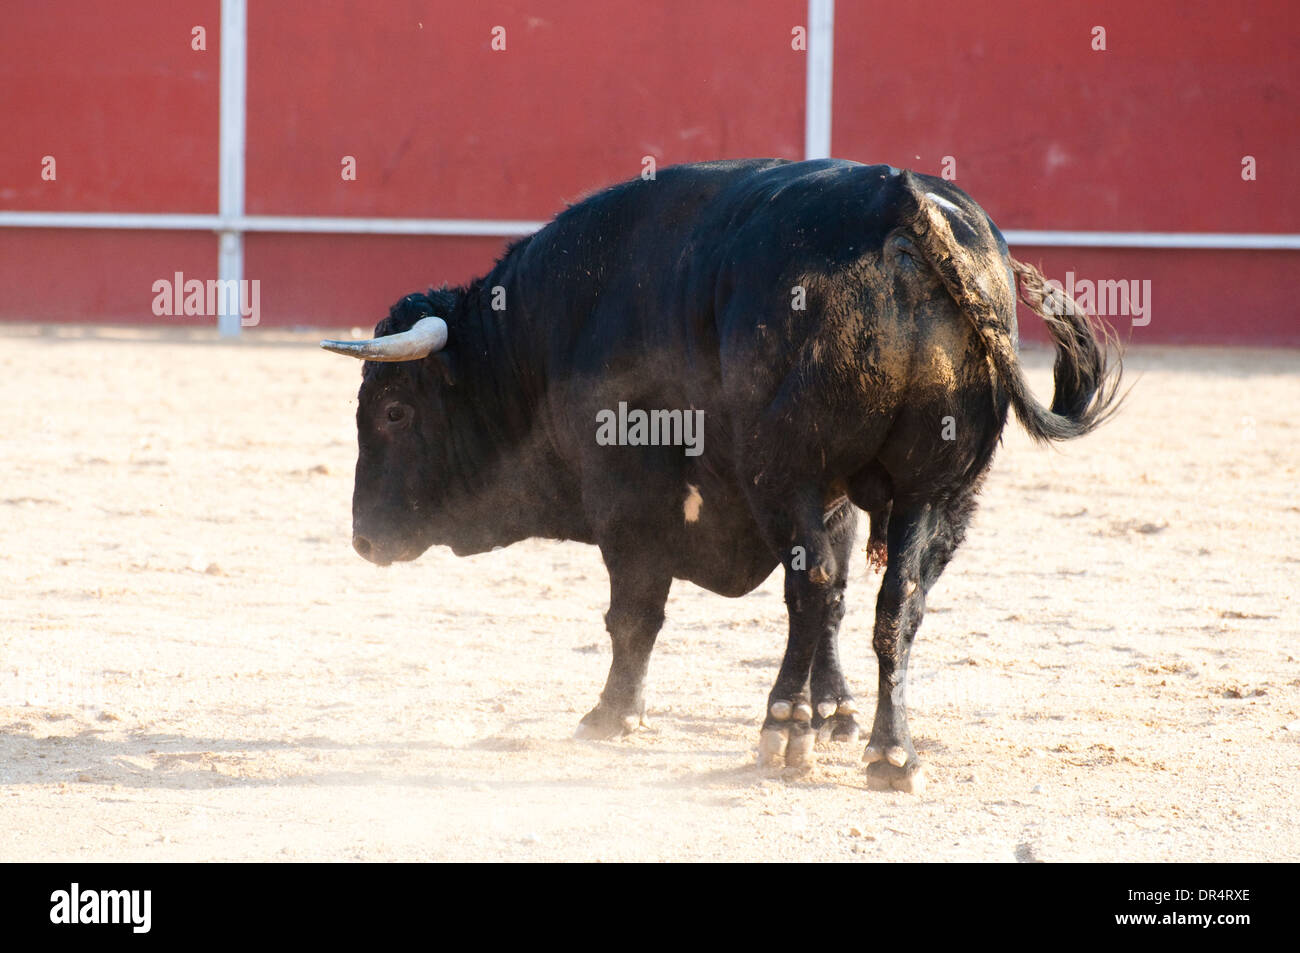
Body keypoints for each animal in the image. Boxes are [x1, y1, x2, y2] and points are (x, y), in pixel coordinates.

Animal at [321, 158, 1122, 793]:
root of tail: (897, 205)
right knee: (897, 600)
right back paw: (891, 753)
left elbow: (635, 611)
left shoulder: (630, 494)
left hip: (785, 470)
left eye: (393, 410)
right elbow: (839, 600)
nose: (362, 538)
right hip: (943, 490)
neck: (555, 328)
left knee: (811, 585)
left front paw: (613, 713)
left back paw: (783, 728)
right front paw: (836, 712)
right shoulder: (841, 500)